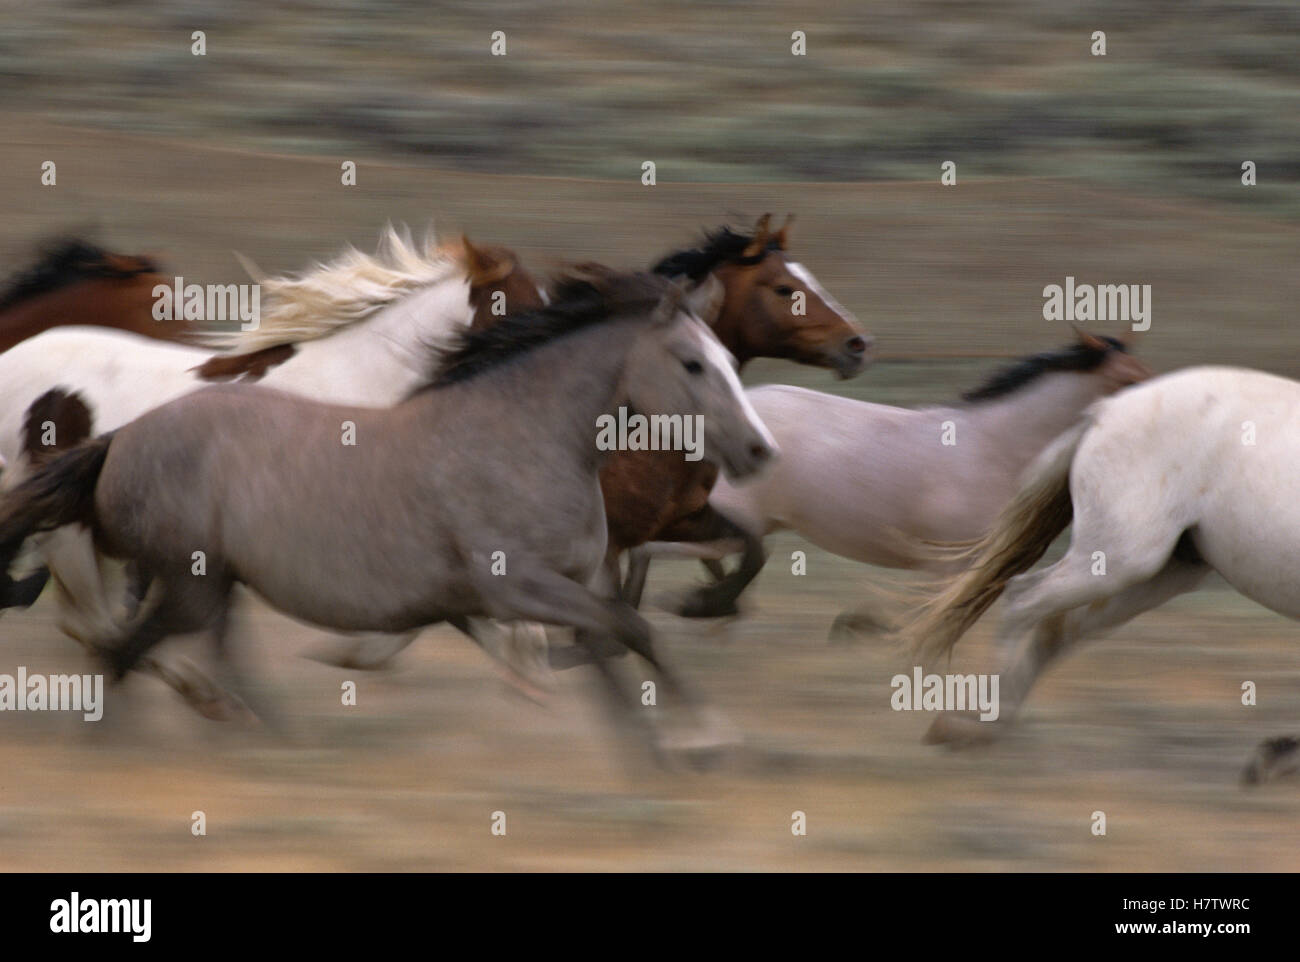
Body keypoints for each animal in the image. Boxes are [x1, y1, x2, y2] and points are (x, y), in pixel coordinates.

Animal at [0, 269, 776, 758]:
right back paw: (136, 742)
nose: (758, 450)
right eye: (693, 364)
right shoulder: (516, 586)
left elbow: (617, 645)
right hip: (186, 578)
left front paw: (659, 749)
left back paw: (263, 735)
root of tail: (120, 438)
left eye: (725, 356)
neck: (523, 438)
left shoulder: (577, 582)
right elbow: (629, 631)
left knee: (165, 644)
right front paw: (707, 739)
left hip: (210, 579)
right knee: (120, 644)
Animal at [903, 365, 1300, 783]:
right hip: (1121, 560)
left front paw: (1277, 756)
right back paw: (979, 723)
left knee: (1056, 626)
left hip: (1156, 575)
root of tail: (1105, 410)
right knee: (1022, 598)